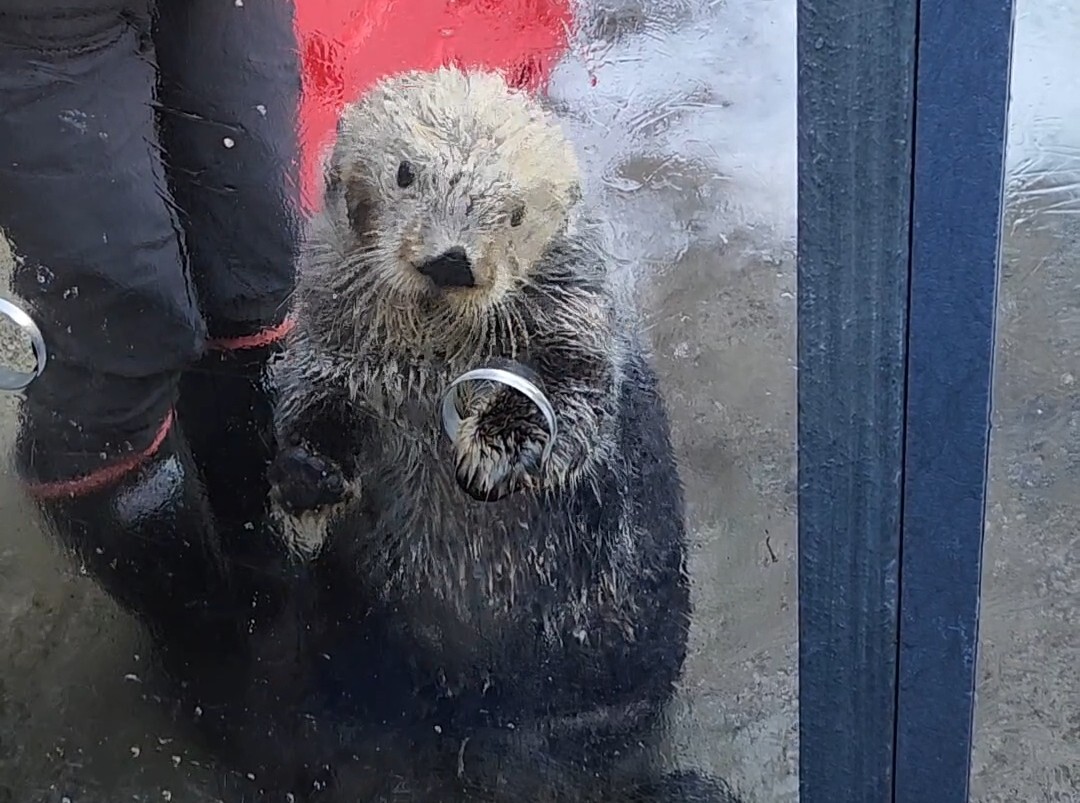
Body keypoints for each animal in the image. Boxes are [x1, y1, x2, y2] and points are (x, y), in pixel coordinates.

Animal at [265, 66, 739, 802]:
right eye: (405, 173)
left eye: (515, 214)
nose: (451, 262)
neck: (430, 348)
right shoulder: (326, 346)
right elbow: (312, 407)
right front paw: (309, 477)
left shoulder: (576, 320)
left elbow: (576, 398)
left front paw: (489, 452)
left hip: (592, 691)